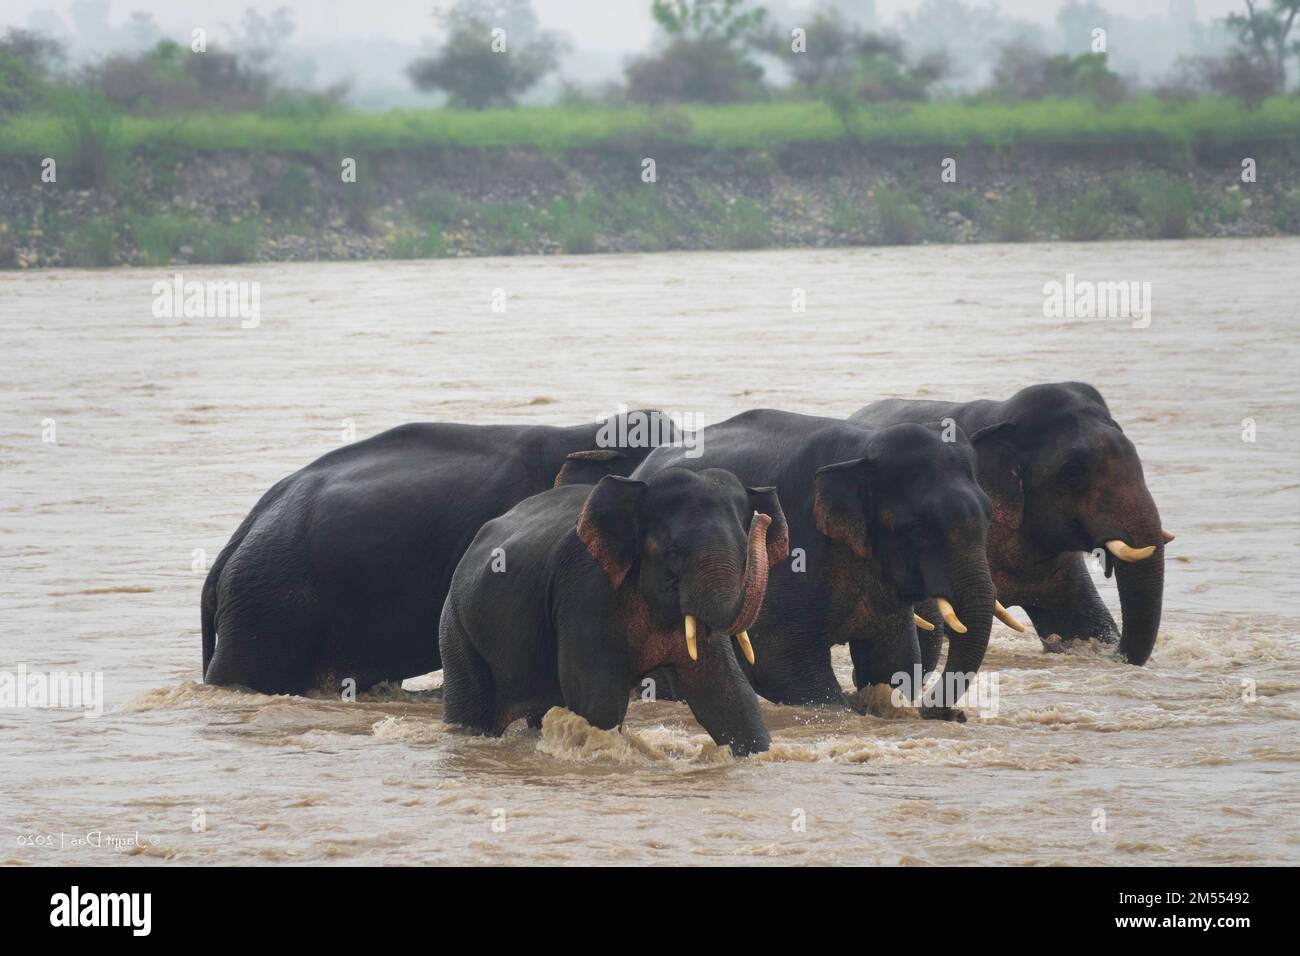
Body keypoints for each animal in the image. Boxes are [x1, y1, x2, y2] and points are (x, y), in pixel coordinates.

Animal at [439, 468, 789, 756]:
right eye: (674, 553)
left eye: (744, 553)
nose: (762, 519)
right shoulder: (586, 589)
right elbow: (599, 704)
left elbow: (725, 693)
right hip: (456, 630)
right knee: (472, 710)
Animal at [629, 409, 998, 718]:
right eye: (918, 528)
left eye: (989, 515)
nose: (950, 714)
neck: (864, 445)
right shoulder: (794, 543)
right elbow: (778, 656)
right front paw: (845, 708)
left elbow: (892, 656)